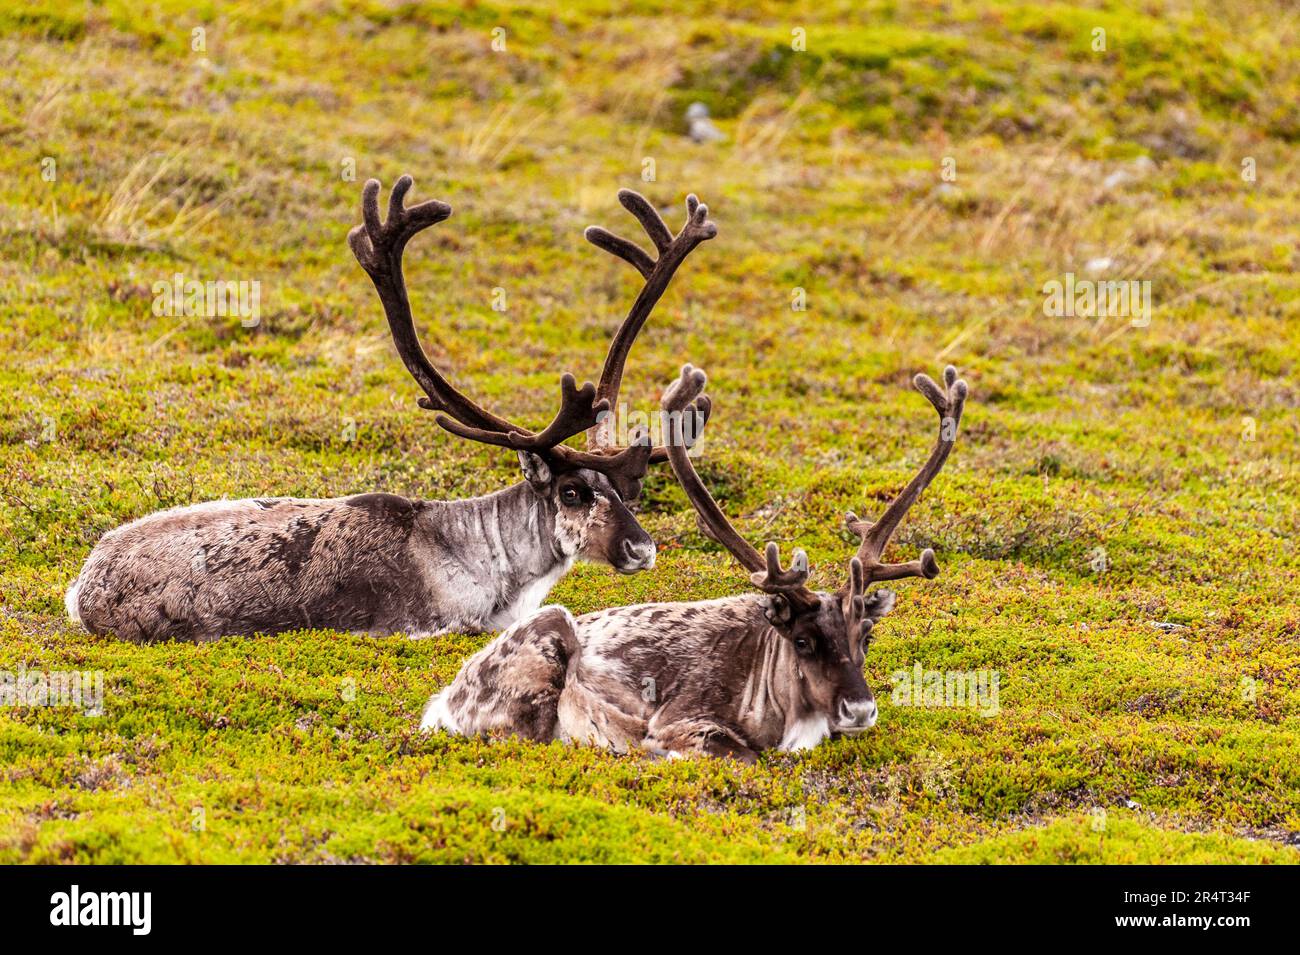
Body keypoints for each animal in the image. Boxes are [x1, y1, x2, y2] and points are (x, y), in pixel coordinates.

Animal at [420, 362, 969, 761]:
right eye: (803, 640)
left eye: (867, 637)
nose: (860, 709)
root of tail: (442, 700)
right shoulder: (681, 723)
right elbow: (739, 754)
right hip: (543, 643)